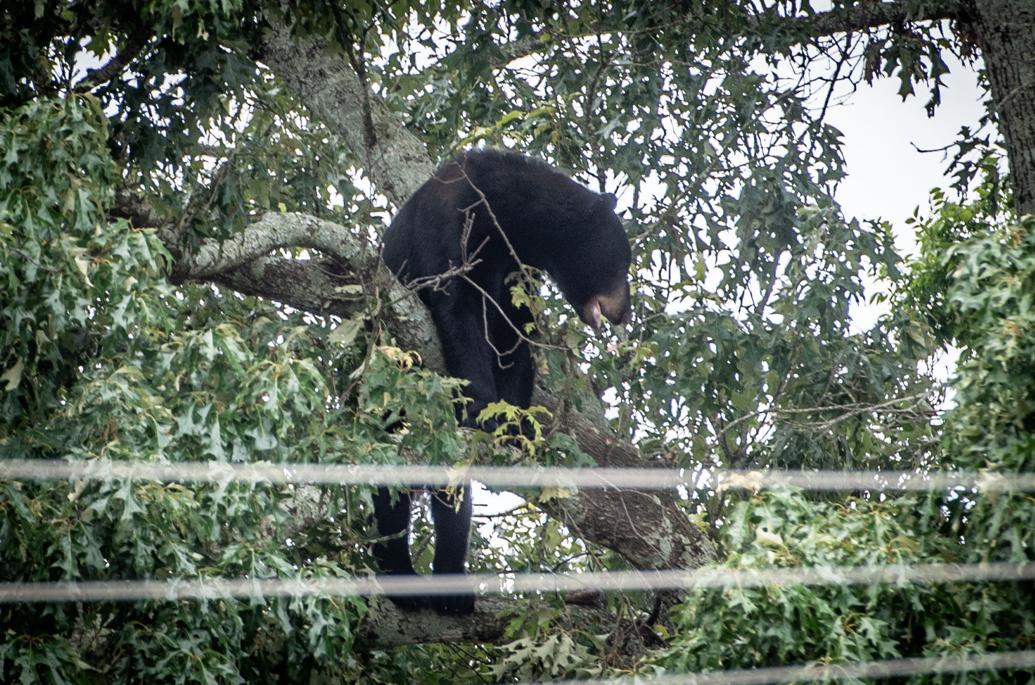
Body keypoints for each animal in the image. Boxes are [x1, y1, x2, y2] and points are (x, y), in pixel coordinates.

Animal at [375, 148, 632, 615]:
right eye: (624, 261)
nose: (625, 311)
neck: (509, 215)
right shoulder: (452, 225)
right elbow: (459, 314)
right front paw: (487, 411)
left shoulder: (515, 267)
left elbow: (515, 336)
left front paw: (517, 425)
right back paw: (399, 574)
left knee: (450, 494)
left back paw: (451, 588)